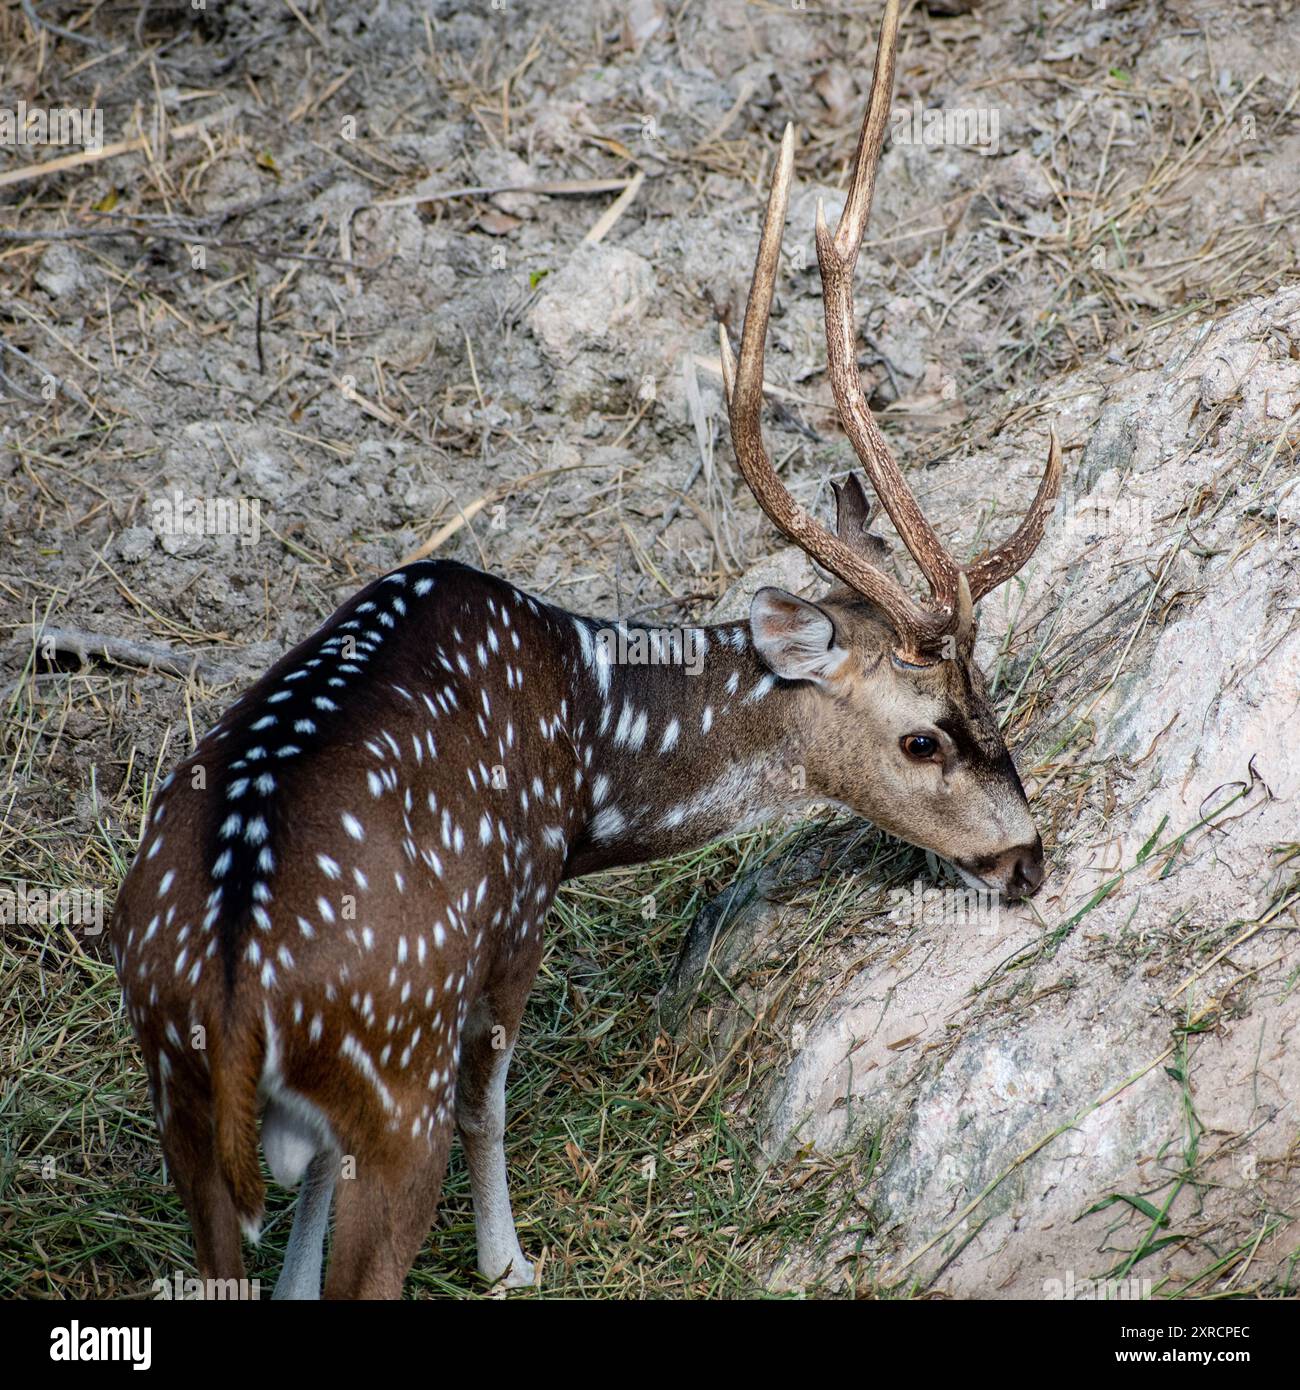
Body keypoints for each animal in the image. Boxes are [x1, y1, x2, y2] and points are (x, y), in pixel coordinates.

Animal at [109, 0, 1058, 1300]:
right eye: (924, 737)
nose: (1029, 861)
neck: (589, 741)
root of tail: (230, 981)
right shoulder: (514, 918)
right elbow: (491, 1099)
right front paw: (510, 1258)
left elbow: (303, 1215)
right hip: (392, 1051)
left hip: (184, 1108)